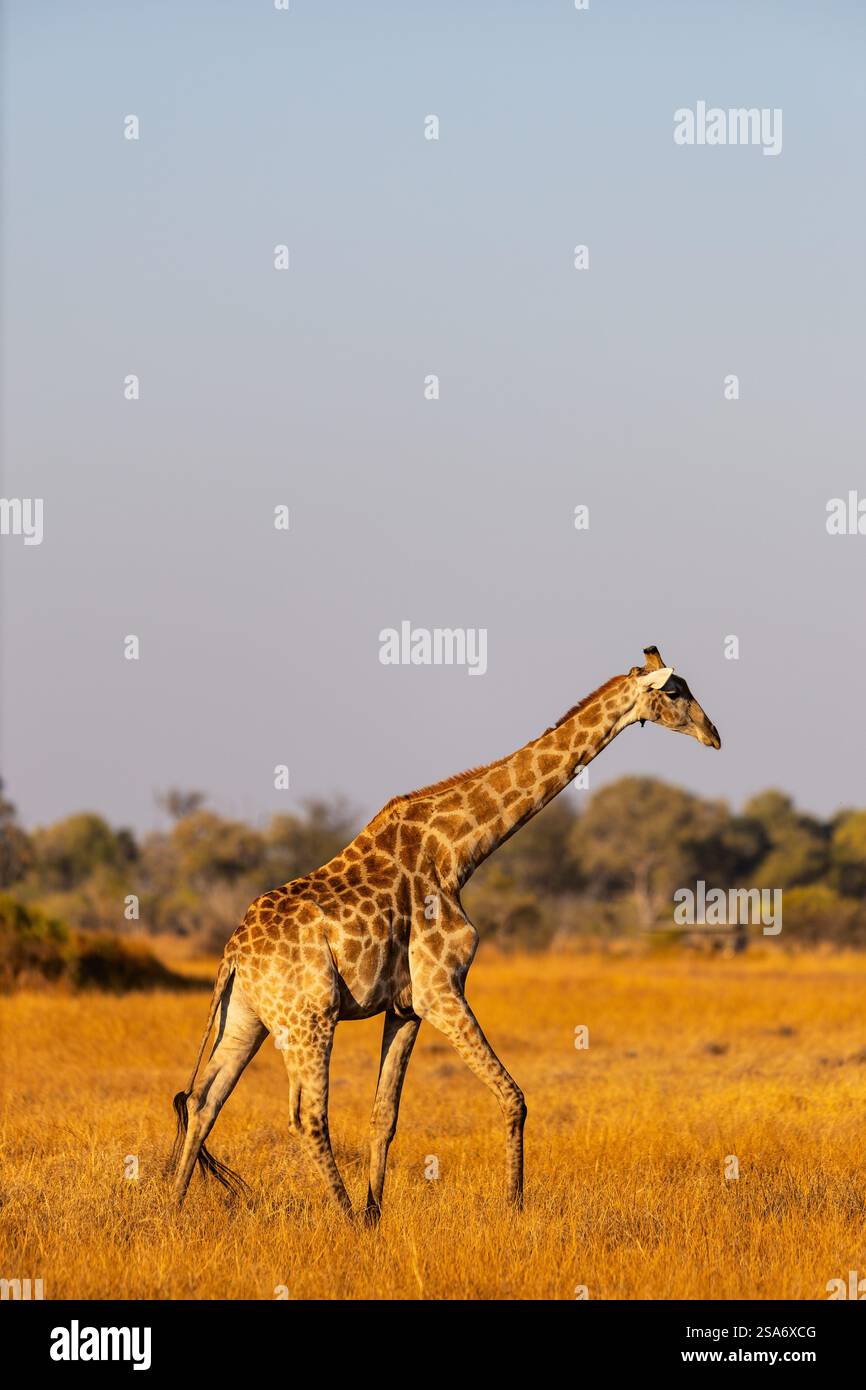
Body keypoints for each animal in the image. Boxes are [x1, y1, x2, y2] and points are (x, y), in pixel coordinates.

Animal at [170, 645, 720, 1219]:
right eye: (676, 691)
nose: (714, 735)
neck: (458, 852)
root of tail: (233, 952)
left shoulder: (405, 1006)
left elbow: (384, 1116)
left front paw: (377, 1213)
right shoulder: (441, 989)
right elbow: (513, 1097)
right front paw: (512, 1205)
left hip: (248, 1016)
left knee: (204, 1100)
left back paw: (174, 1207)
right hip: (309, 1017)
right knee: (306, 1115)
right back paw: (342, 1216)